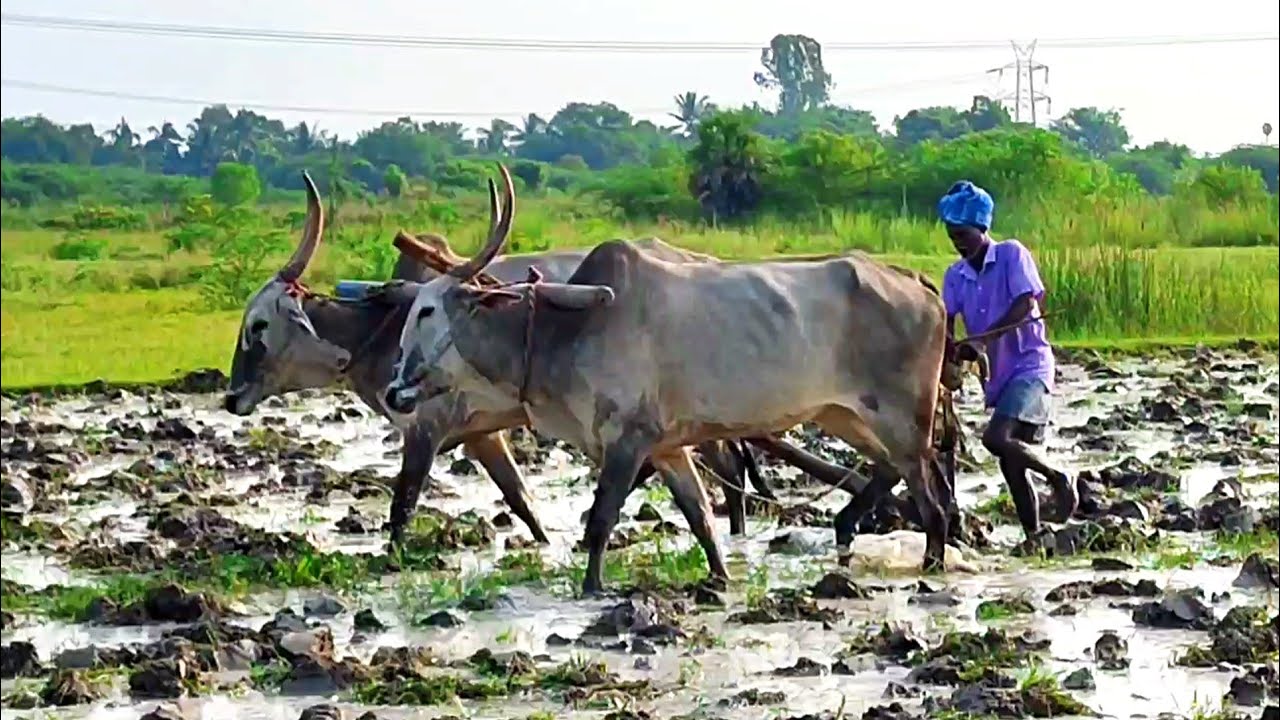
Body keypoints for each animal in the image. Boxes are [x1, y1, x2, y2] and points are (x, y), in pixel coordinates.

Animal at [222, 171, 784, 546]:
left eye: (259, 325)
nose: (231, 398)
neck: (381, 329)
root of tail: (700, 261)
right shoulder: (481, 436)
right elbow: (519, 498)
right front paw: (547, 542)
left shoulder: (424, 429)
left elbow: (403, 505)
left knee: (728, 465)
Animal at [384, 163, 954, 595]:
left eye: (427, 310)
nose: (394, 389)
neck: (563, 329)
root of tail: (916, 282)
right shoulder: (667, 447)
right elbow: (701, 516)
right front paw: (721, 577)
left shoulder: (627, 440)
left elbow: (602, 517)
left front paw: (592, 587)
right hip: (845, 414)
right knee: (892, 470)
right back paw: (850, 529)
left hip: (902, 415)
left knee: (928, 492)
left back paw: (930, 565)